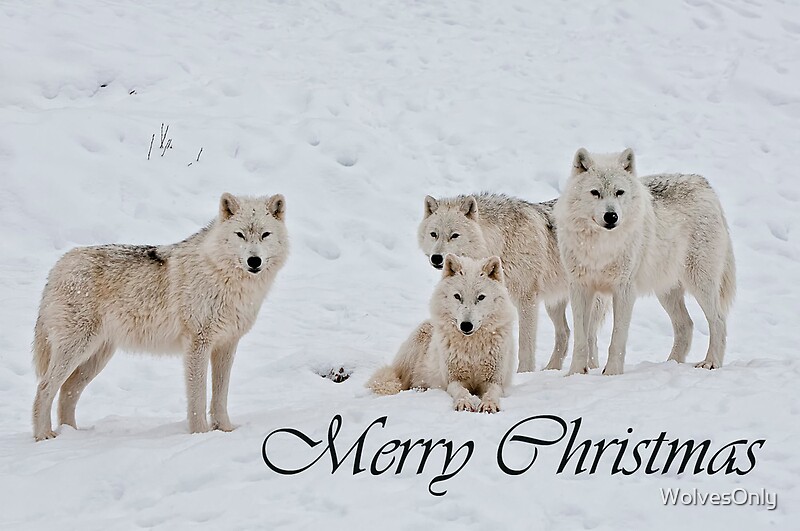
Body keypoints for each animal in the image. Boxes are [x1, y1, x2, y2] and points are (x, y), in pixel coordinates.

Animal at [31, 193, 289, 441]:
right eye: (240, 235)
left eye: (265, 234)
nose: (254, 261)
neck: (224, 277)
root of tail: (58, 266)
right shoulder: (197, 343)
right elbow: (198, 397)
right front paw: (200, 434)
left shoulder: (226, 344)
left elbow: (220, 396)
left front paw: (225, 431)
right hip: (77, 350)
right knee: (44, 388)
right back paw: (44, 435)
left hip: (96, 357)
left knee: (67, 392)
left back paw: (71, 434)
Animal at [367, 255, 516, 412]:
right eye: (457, 296)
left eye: (481, 297)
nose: (466, 325)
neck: (471, 348)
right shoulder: (453, 380)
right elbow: (461, 391)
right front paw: (464, 403)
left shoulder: (495, 381)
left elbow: (492, 393)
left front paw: (489, 404)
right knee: (403, 382)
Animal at [418, 193, 606, 372]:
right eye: (434, 234)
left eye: (454, 235)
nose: (436, 258)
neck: (500, 242)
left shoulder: (527, 299)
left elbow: (525, 344)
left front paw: (524, 372)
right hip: (553, 304)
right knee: (565, 333)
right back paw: (551, 368)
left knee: (590, 336)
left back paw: (591, 367)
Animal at [554, 148, 736, 375]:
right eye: (595, 192)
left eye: (619, 192)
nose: (611, 216)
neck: (601, 247)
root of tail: (704, 184)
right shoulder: (580, 288)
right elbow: (580, 338)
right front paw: (575, 374)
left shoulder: (624, 289)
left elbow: (617, 337)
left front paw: (612, 373)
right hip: (666, 291)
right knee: (686, 325)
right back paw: (670, 364)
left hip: (700, 283)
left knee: (718, 320)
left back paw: (711, 362)